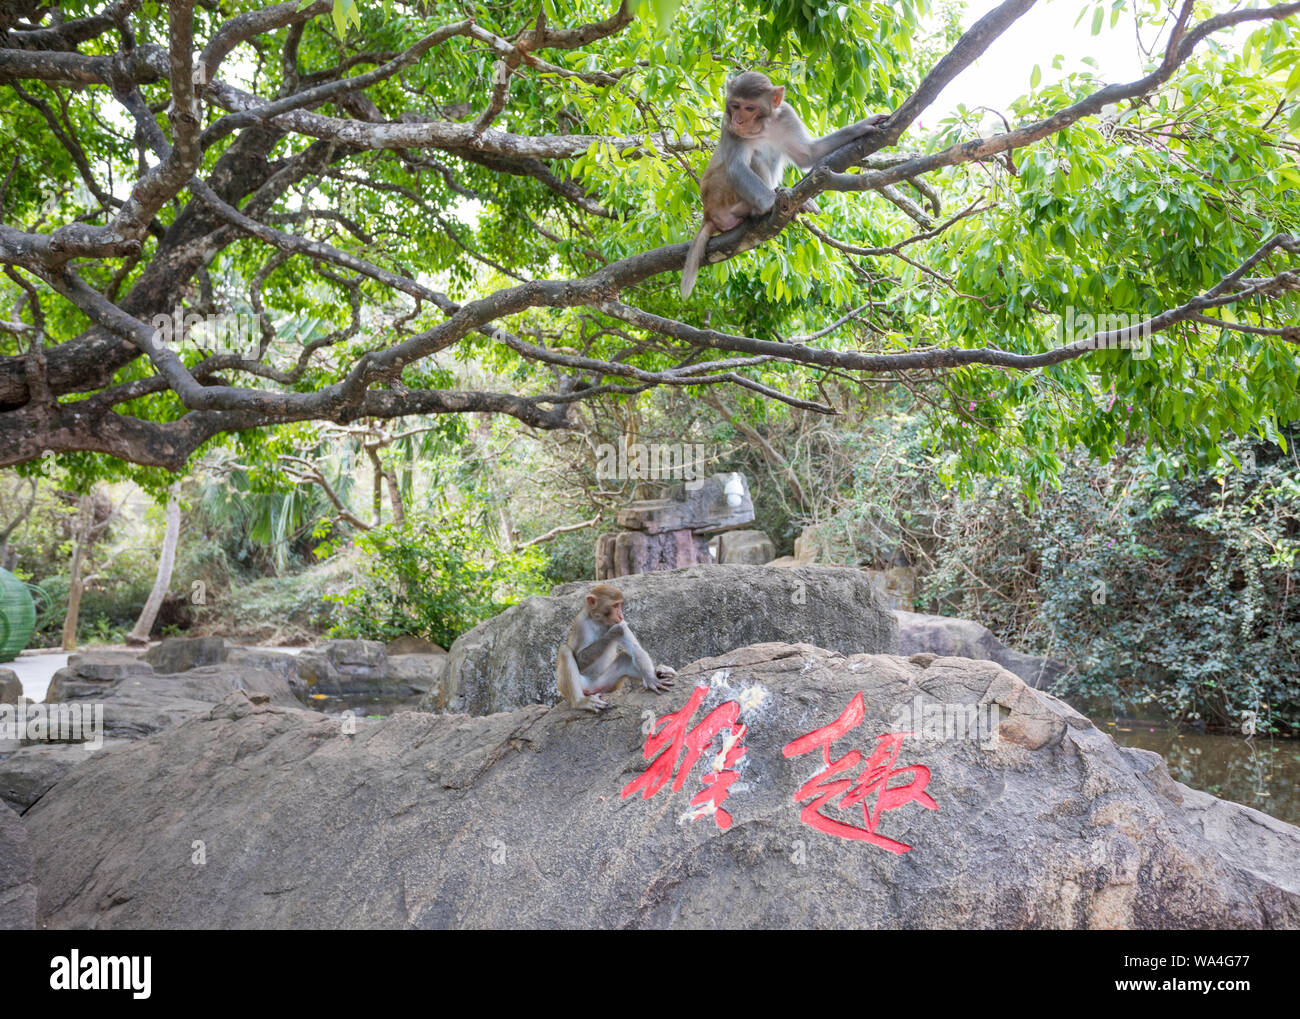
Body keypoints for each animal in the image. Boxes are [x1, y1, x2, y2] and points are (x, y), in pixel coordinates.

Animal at [556, 583, 677, 712]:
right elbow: (579, 660)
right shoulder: (581, 624)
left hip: (607, 684)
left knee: (625, 658)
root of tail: (591, 688)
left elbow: (635, 648)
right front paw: (614, 631)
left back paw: (660, 672)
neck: (598, 621)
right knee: (565, 651)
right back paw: (580, 702)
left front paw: (651, 678)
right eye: (614, 606)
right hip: (574, 686)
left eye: (619, 605)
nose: (620, 614)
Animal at [680, 70, 889, 298]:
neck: (763, 126)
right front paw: (772, 204)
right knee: (754, 159)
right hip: (723, 198)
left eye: (749, 108)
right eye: (735, 106)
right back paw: (759, 209)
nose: (738, 120)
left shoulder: (786, 115)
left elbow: (808, 153)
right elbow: (736, 167)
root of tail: (708, 212)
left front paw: (861, 127)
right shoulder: (727, 125)